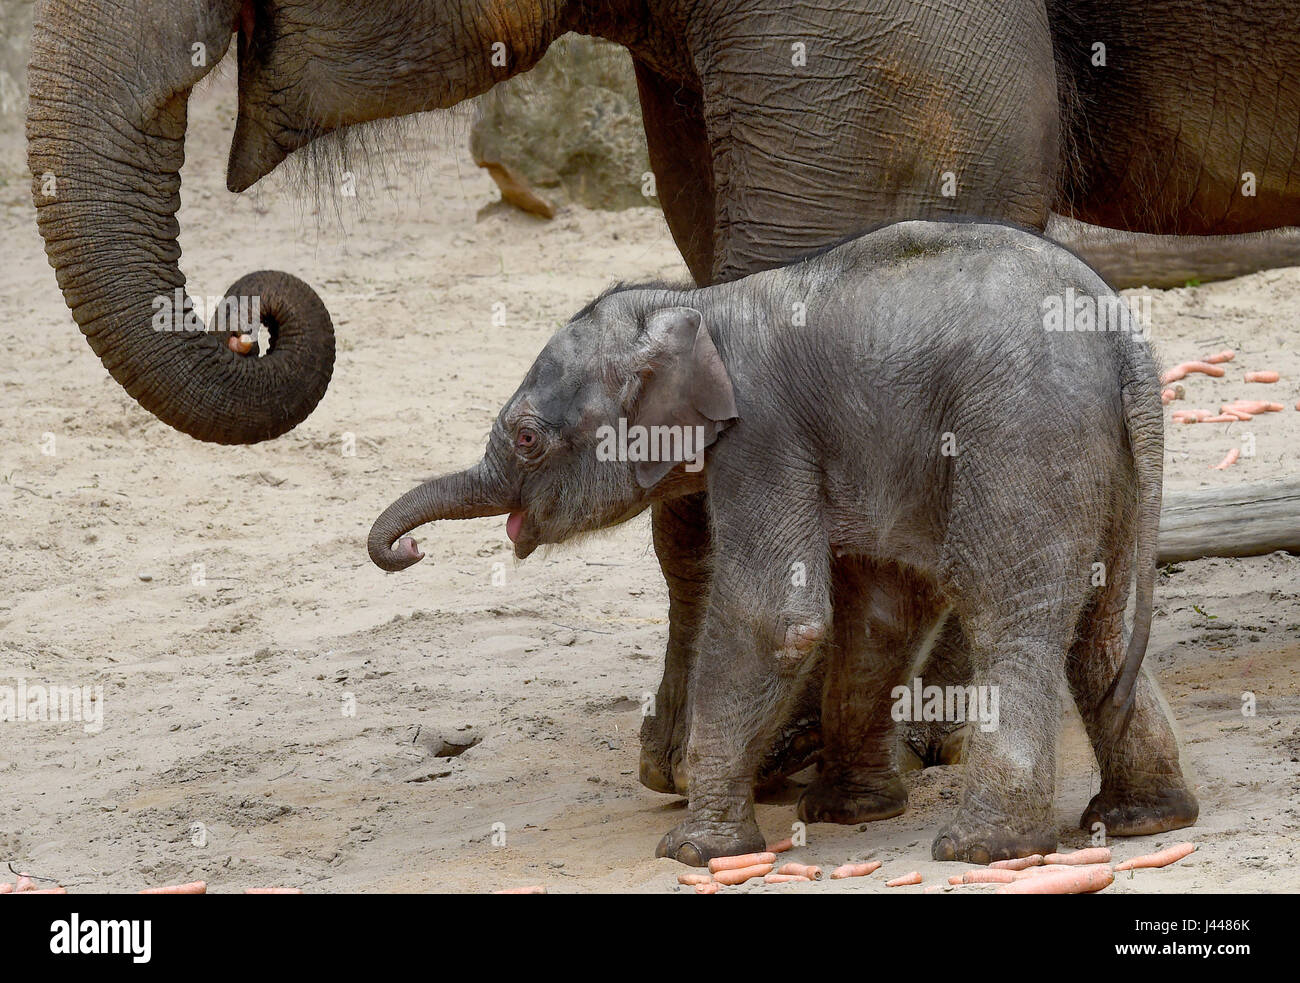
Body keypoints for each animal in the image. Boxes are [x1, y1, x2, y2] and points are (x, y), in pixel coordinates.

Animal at [368, 220, 1198, 863]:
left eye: (528, 438)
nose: (405, 552)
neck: (697, 304)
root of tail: (1127, 343)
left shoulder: (765, 437)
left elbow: (777, 619)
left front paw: (693, 851)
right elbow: (878, 611)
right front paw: (850, 812)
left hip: (1022, 433)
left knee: (1009, 614)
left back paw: (983, 848)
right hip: (1107, 461)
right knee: (1101, 625)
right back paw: (1142, 818)